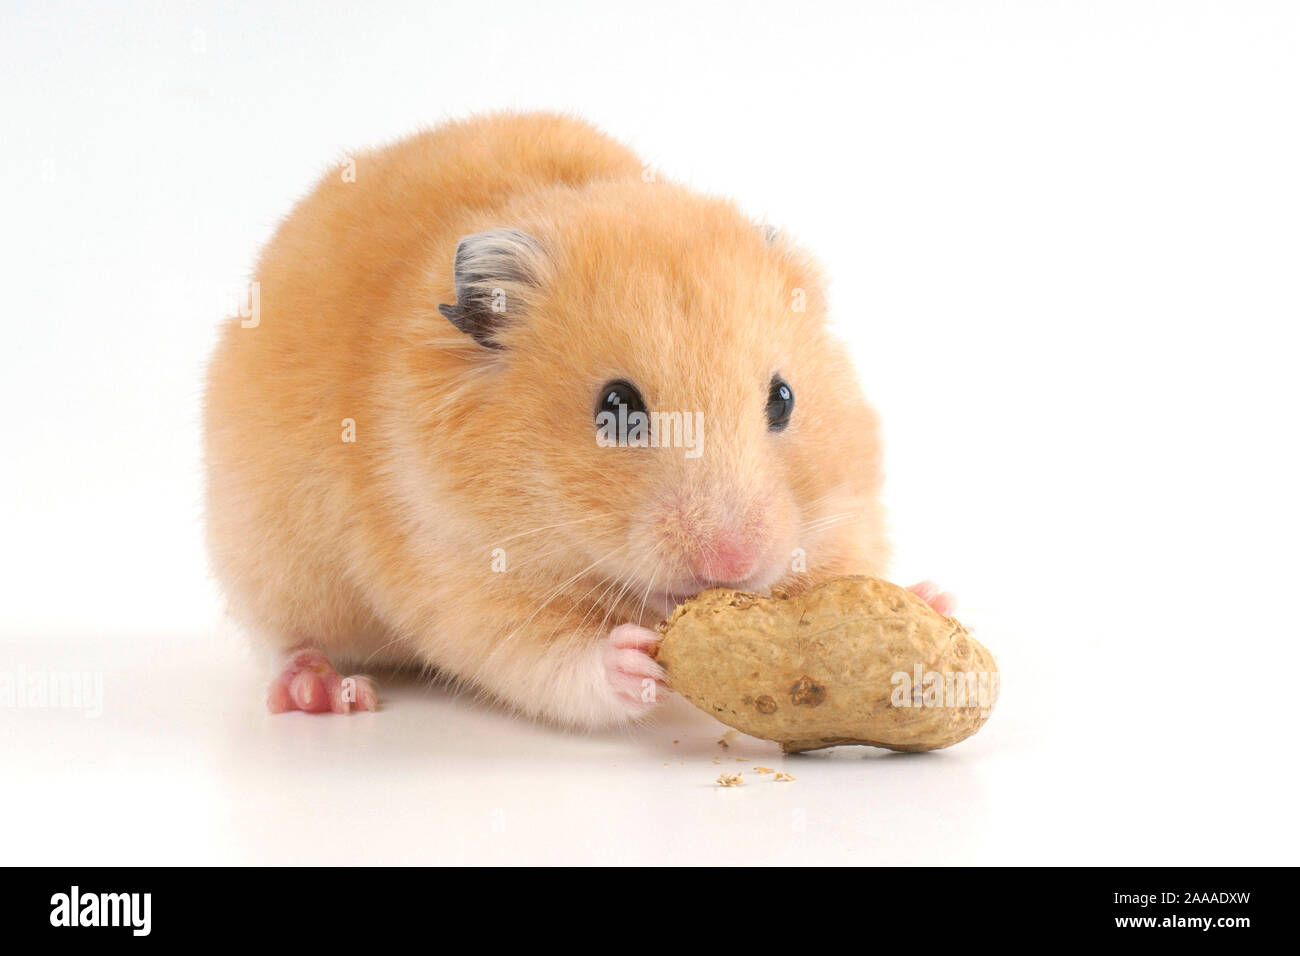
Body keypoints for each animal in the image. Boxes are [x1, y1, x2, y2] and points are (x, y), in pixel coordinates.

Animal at [204, 111, 941, 727]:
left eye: (783, 399)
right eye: (615, 408)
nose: (731, 563)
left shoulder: (845, 509)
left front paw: (930, 599)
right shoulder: (453, 566)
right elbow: (545, 656)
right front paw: (635, 659)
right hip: (266, 558)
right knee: (284, 641)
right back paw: (324, 690)